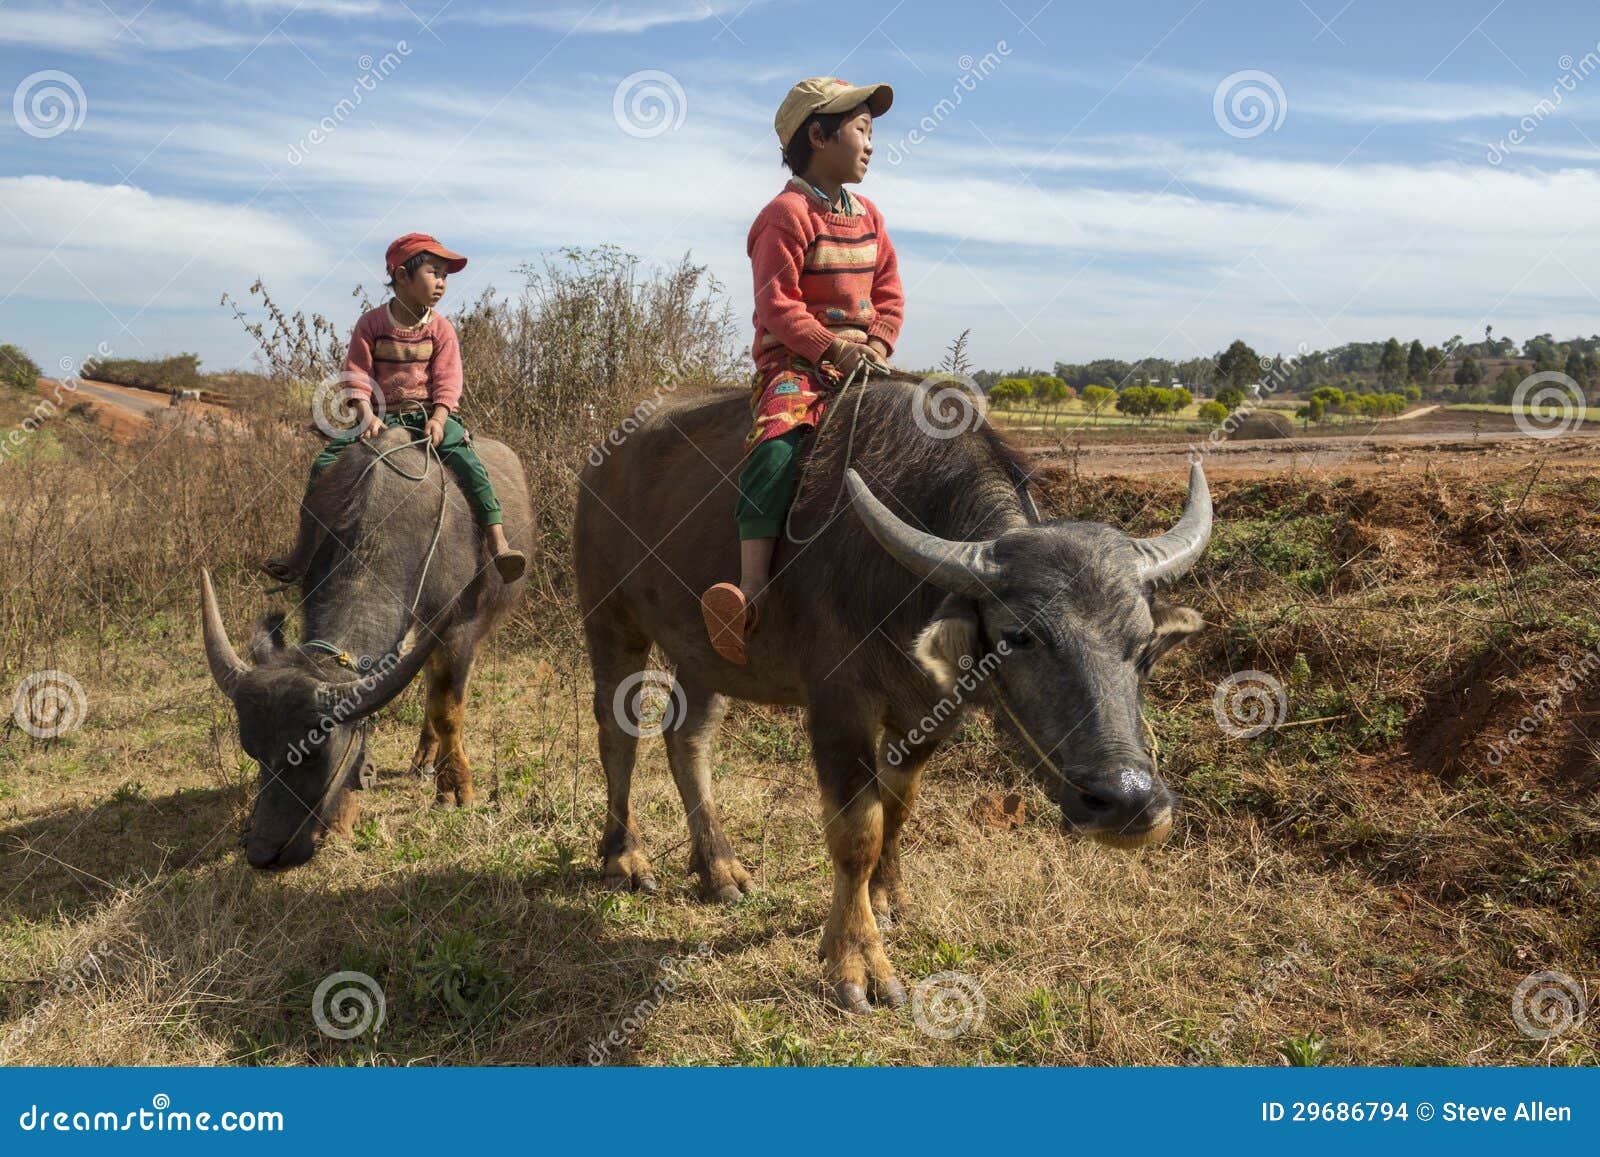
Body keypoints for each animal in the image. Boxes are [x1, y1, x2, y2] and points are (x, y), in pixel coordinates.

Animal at [202, 425, 531, 869]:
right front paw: (343, 816)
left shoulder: (458, 632)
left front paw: (454, 789)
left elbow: (447, 710)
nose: (263, 853)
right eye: (252, 751)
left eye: (312, 752)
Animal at [575, 376, 1210, 1011]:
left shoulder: (928, 713)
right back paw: (624, 858)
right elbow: (858, 830)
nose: (1128, 801)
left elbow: (898, 805)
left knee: (689, 739)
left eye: (1144, 647)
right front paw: (859, 962)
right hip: (610, 619)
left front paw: (888, 894)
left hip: (704, 653)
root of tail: (600, 463)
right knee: (617, 736)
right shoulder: (837, 707)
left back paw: (719, 867)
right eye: (1018, 636)